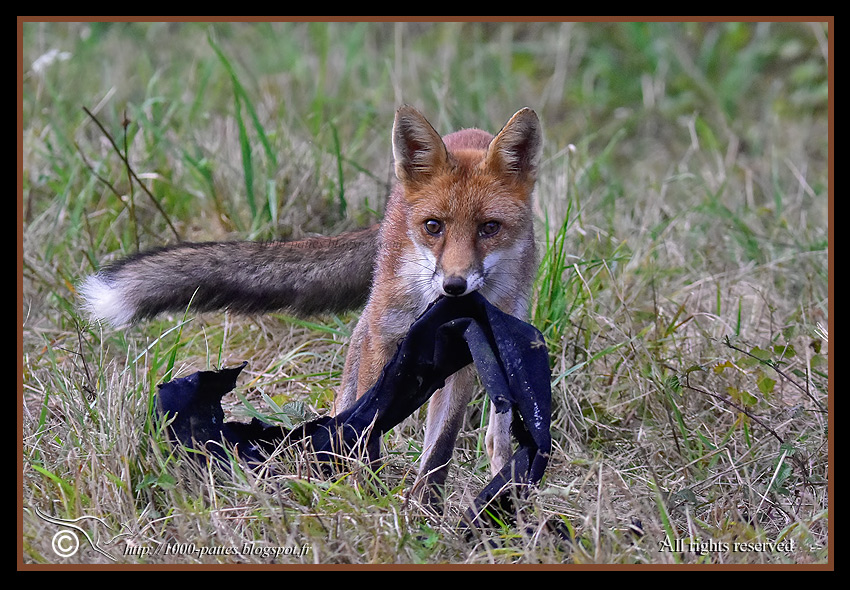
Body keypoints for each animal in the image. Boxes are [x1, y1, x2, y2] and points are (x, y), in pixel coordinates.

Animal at [80, 105, 543, 501]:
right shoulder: (385, 336)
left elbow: (440, 448)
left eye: (489, 228)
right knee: (347, 395)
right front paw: (365, 494)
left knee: (495, 432)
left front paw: (422, 508)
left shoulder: (462, 355)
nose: (454, 286)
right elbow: (369, 421)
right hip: (372, 323)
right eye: (434, 227)